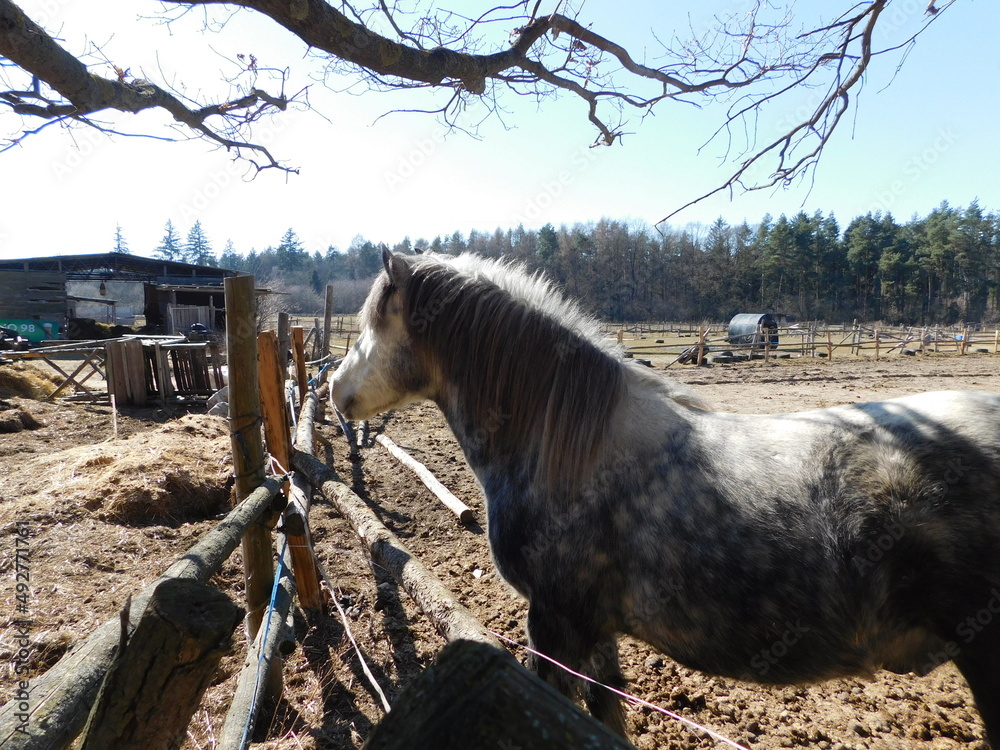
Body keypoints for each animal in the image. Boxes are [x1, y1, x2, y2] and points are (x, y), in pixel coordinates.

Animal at [331, 248, 1000, 743]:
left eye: (372, 325)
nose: (332, 387)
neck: (566, 443)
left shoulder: (555, 625)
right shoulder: (594, 630)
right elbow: (606, 717)